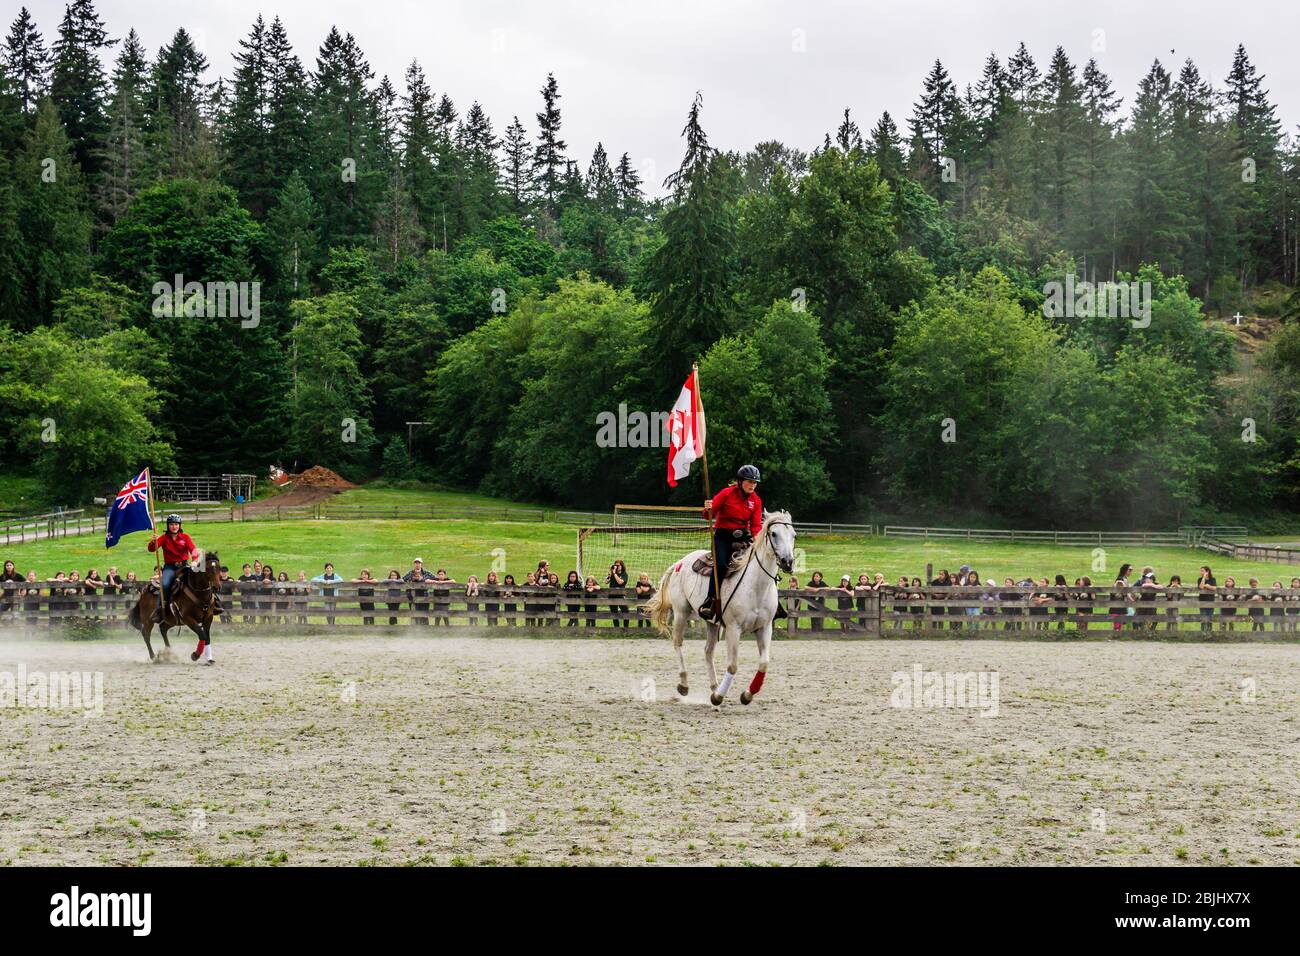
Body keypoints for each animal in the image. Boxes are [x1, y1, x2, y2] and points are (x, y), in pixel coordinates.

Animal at [643, 510, 796, 706]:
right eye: (774, 534)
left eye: (794, 535)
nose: (788, 562)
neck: (755, 587)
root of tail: (680, 562)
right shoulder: (733, 628)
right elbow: (733, 665)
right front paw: (718, 697)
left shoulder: (765, 627)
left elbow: (764, 663)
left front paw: (746, 695)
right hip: (681, 612)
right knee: (678, 642)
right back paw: (684, 684)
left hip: (712, 622)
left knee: (708, 651)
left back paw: (714, 686)